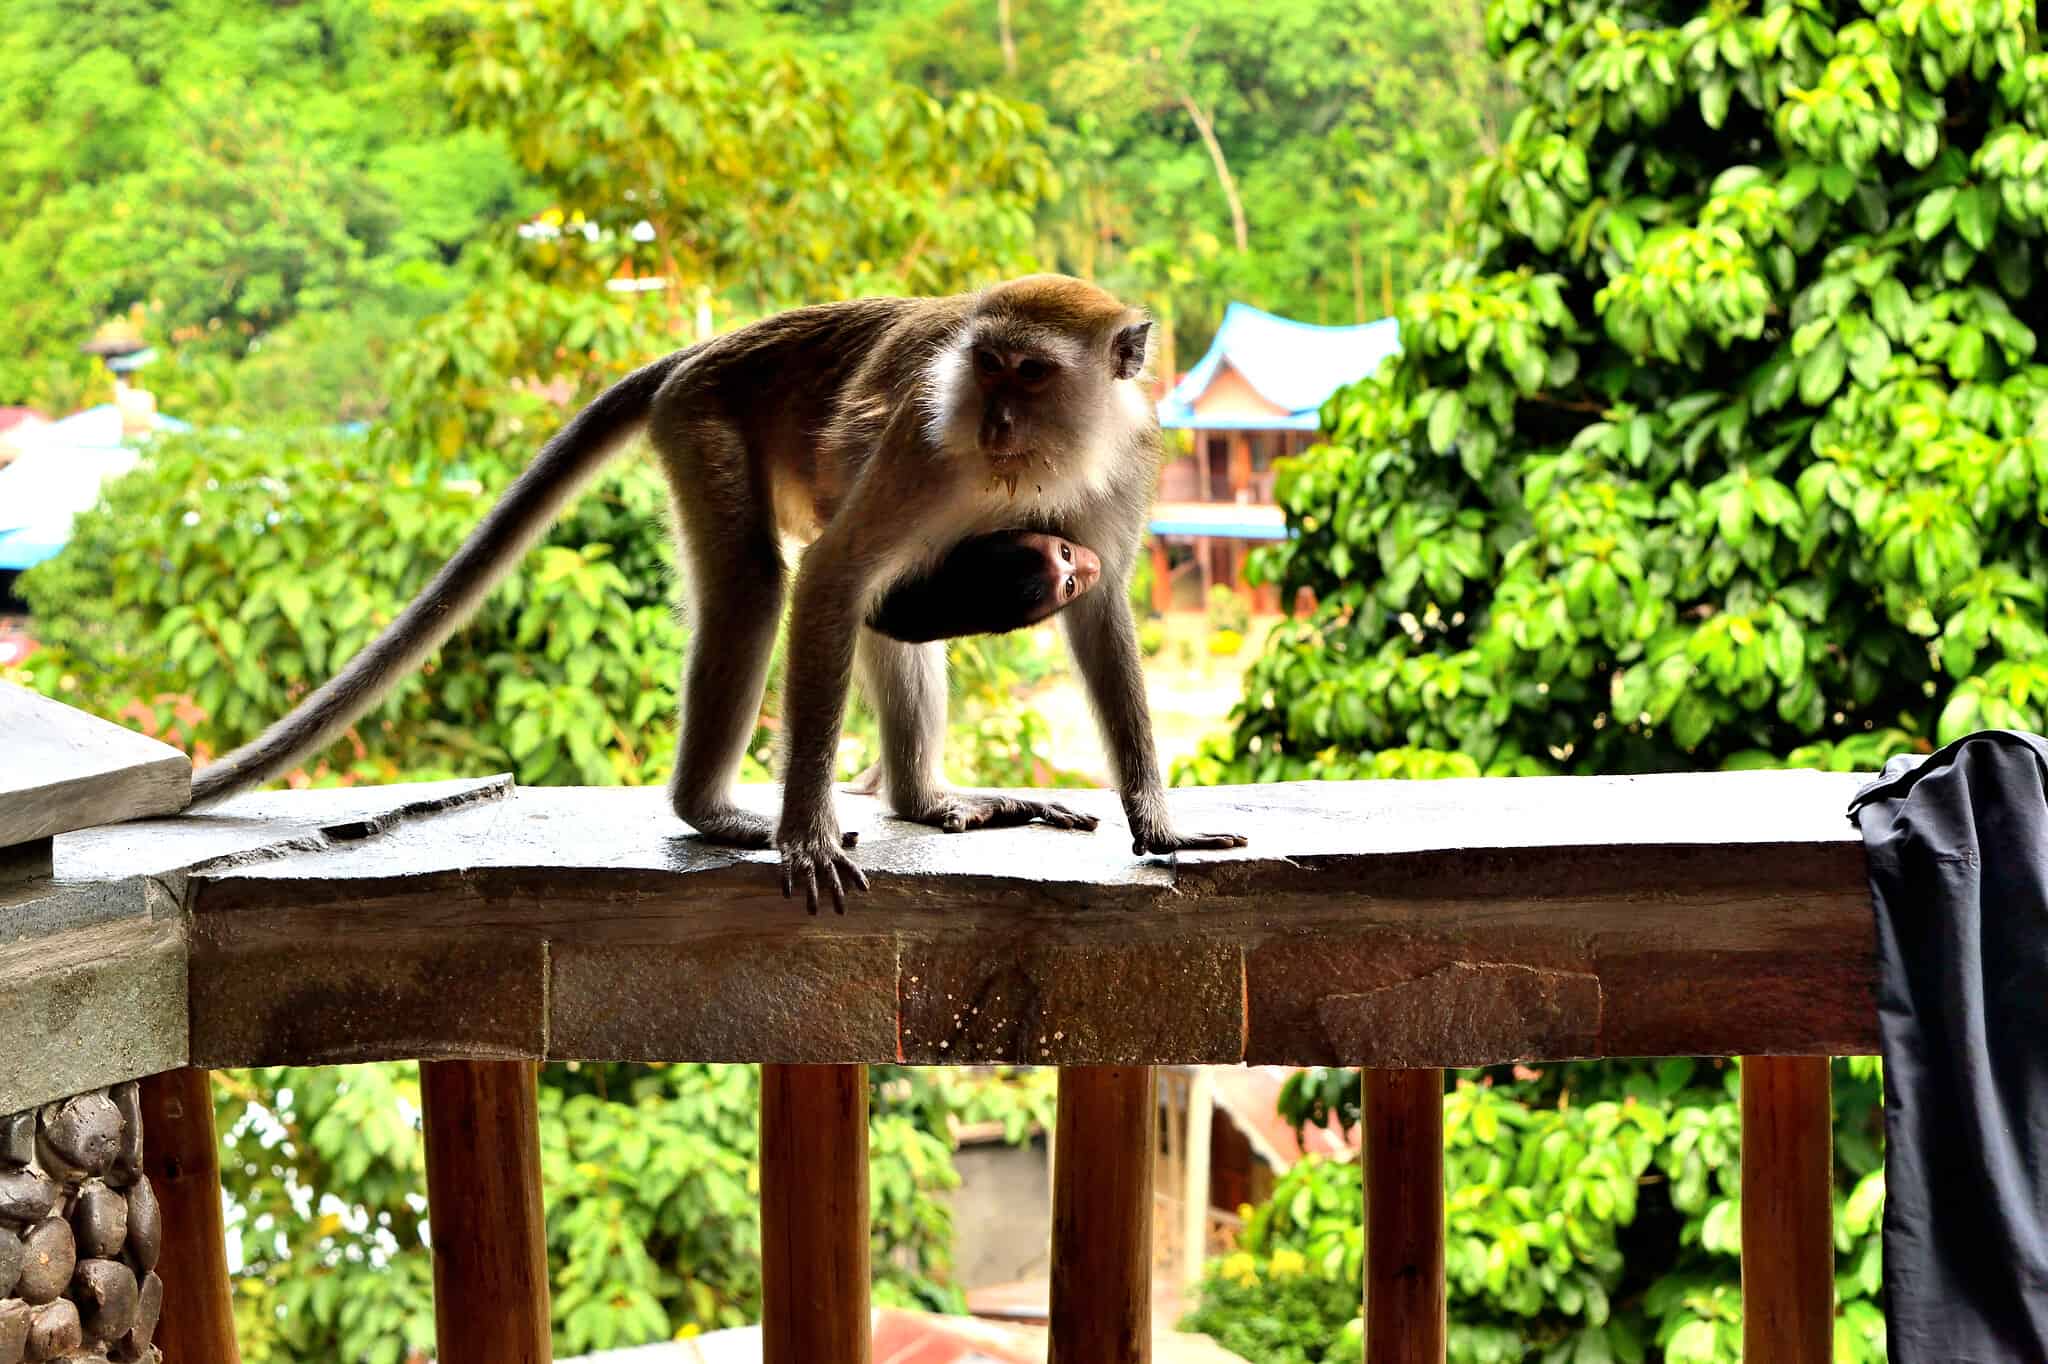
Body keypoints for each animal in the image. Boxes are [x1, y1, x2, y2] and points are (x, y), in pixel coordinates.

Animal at [187, 274, 1247, 911]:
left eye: (1029, 371)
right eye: (985, 365)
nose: (989, 418)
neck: (1031, 460)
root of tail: (709, 348)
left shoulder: (1126, 462)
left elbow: (1097, 621)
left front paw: (1158, 826)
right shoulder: (925, 440)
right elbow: (835, 577)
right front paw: (804, 833)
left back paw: (928, 803)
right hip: (703, 421)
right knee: (757, 584)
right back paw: (716, 812)